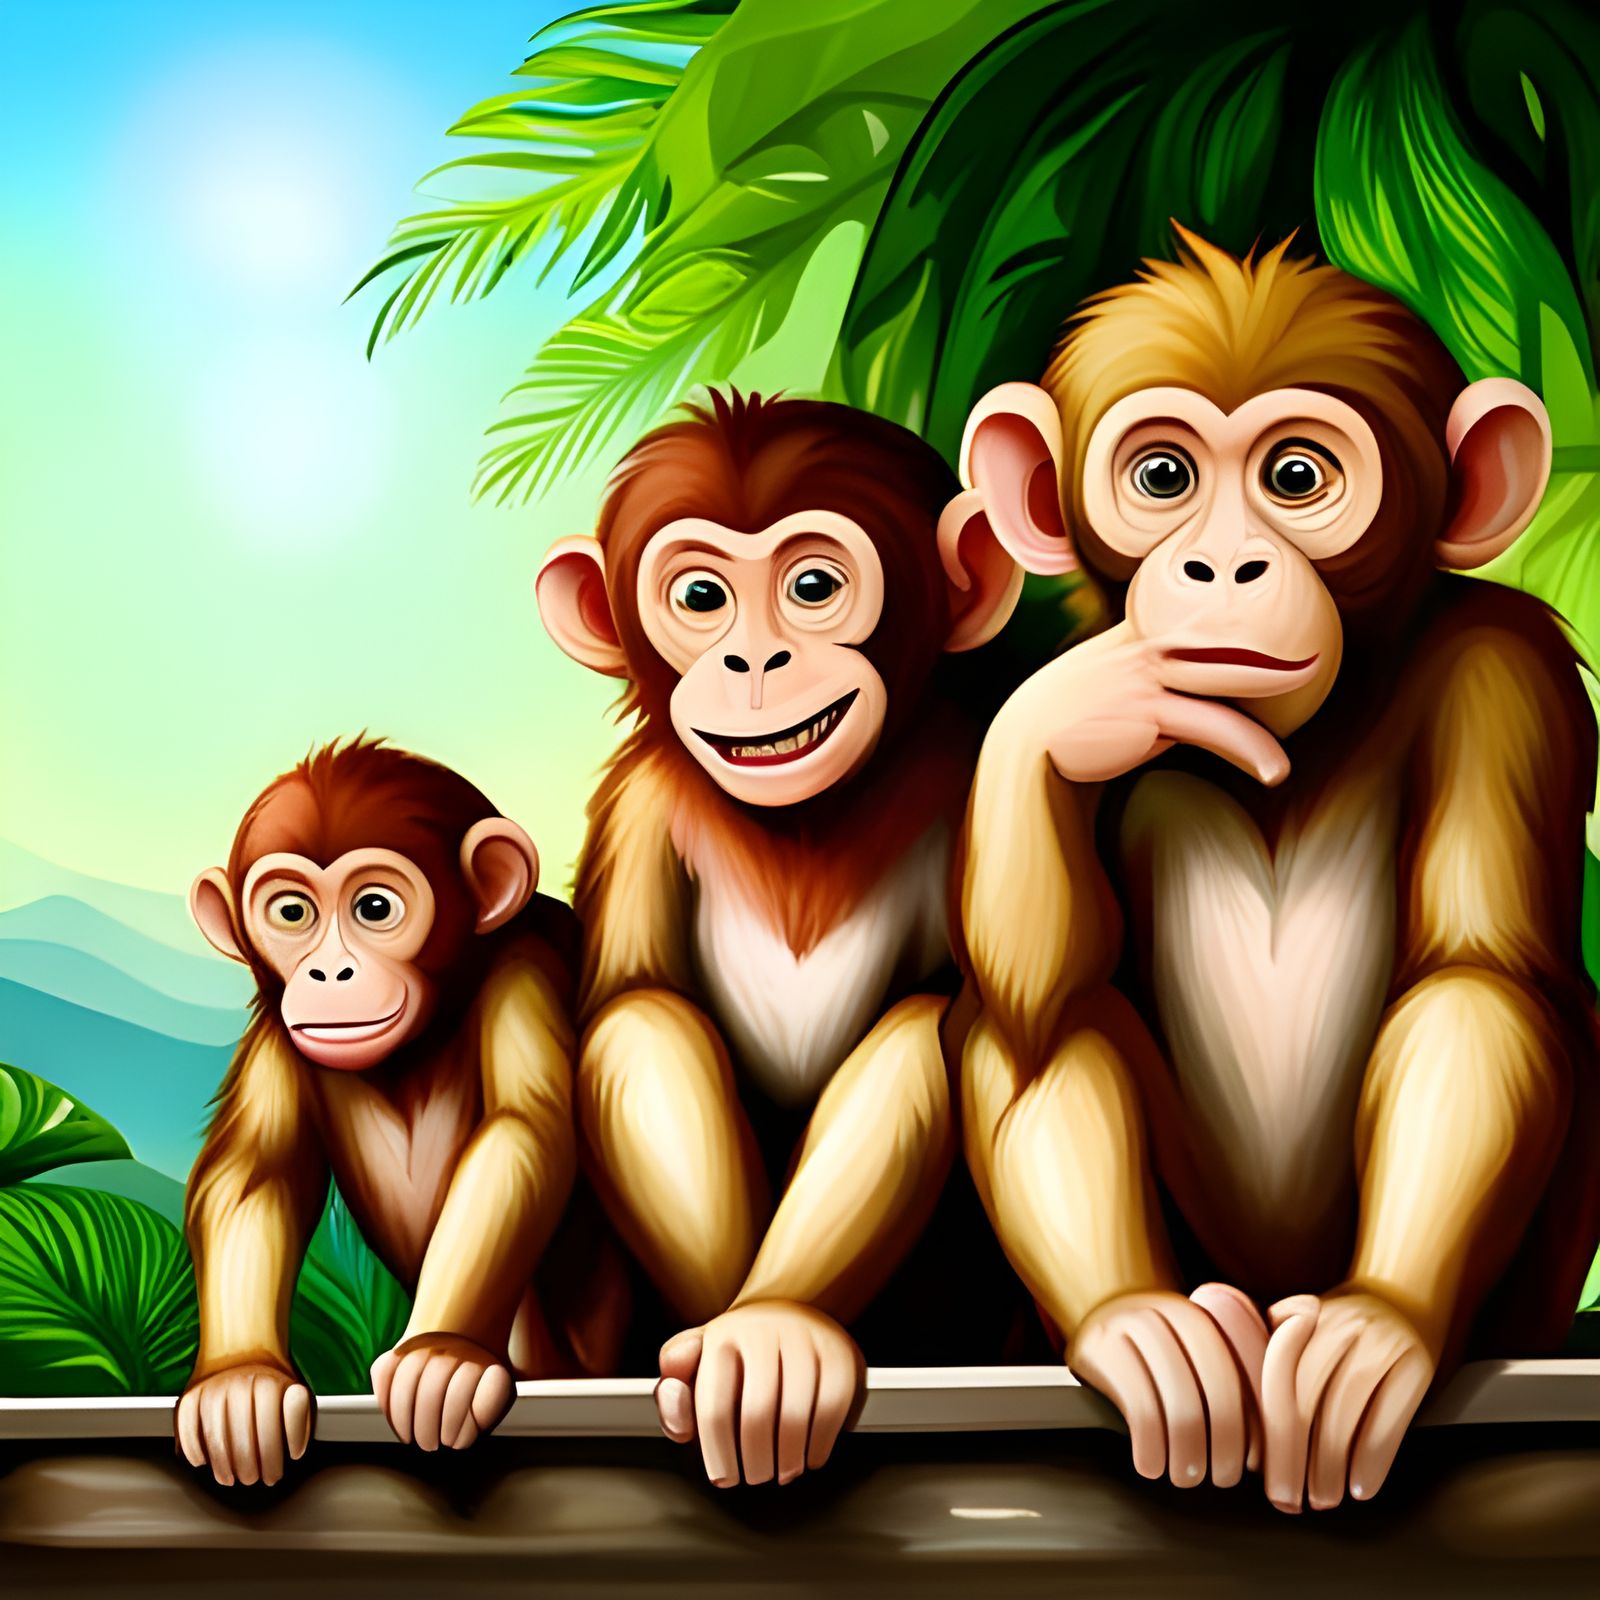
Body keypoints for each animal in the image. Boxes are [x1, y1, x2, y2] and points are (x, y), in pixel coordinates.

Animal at [177, 739, 587, 1486]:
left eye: (374, 907)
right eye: (291, 914)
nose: (328, 972)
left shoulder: (525, 965)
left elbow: (523, 1128)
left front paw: (444, 1353)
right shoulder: (277, 1031)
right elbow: (254, 1172)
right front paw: (238, 1378)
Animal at [535, 390, 1019, 1487]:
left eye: (812, 586)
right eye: (702, 595)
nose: (753, 659)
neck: (802, 821)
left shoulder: (971, 782)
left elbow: (934, 1034)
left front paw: (771, 1330)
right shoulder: (641, 808)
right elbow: (636, 1015)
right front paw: (734, 1333)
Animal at [944, 230, 1599, 1513]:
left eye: (1297, 476)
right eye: (1161, 476)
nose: (1223, 564)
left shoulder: (1511, 672)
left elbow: (1479, 977)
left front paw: (1380, 1324)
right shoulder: (1030, 701)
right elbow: (1039, 1011)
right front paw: (1132, 1319)